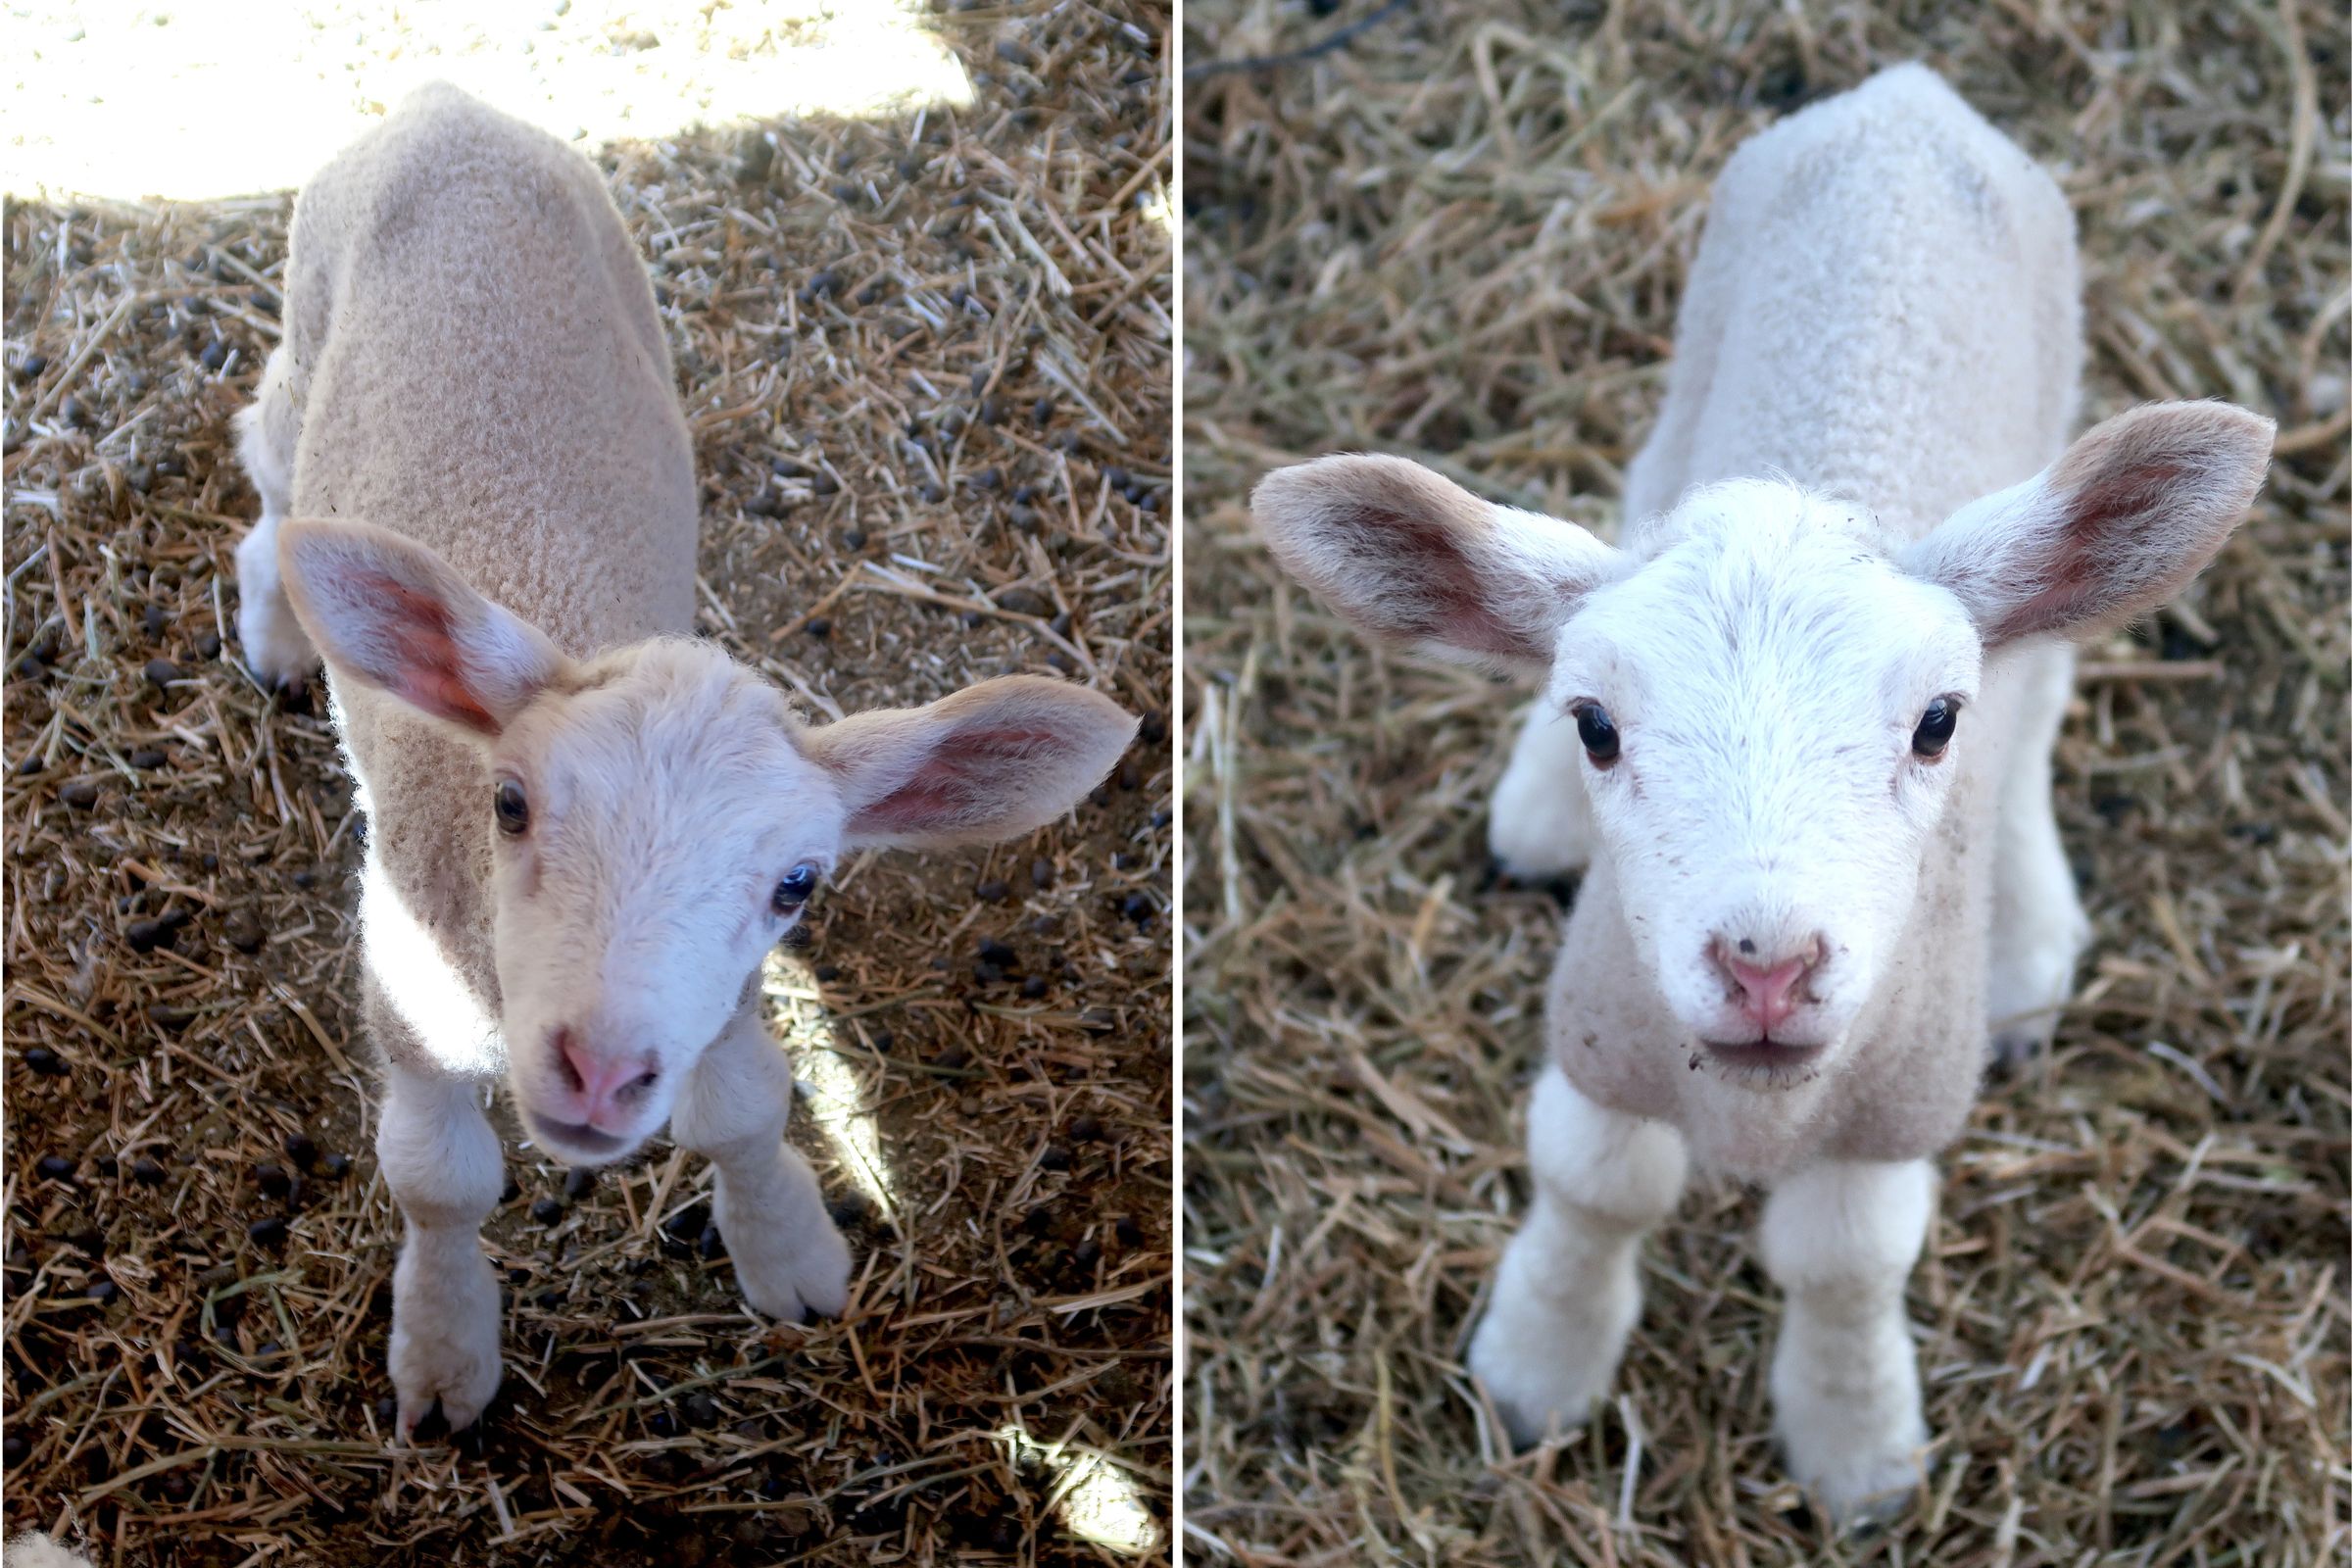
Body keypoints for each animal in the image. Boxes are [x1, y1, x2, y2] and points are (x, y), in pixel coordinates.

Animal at [231, 84, 1138, 1438]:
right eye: (509, 804)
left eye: (798, 883)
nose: (603, 1070)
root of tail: (448, 106)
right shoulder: (406, 1001)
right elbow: (438, 1182)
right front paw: (443, 1354)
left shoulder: (723, 999)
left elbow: (748, 1110)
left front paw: (791, 1254)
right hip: (305, 331)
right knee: (269, 480)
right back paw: (282, 628)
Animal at [1249, 64, 2273, 1523]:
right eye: (1598, 726)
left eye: (1936, 721)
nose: (1768, 967)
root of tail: (1910, 98)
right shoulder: (1605, 1034)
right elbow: (1594, 1187)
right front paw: (1536, 1371)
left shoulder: (1894, 1107)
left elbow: (1847, 1263)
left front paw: (1858, 1450)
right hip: (1696, 348)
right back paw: (1536, 822)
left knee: (2051, 667)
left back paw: (2027, 941)